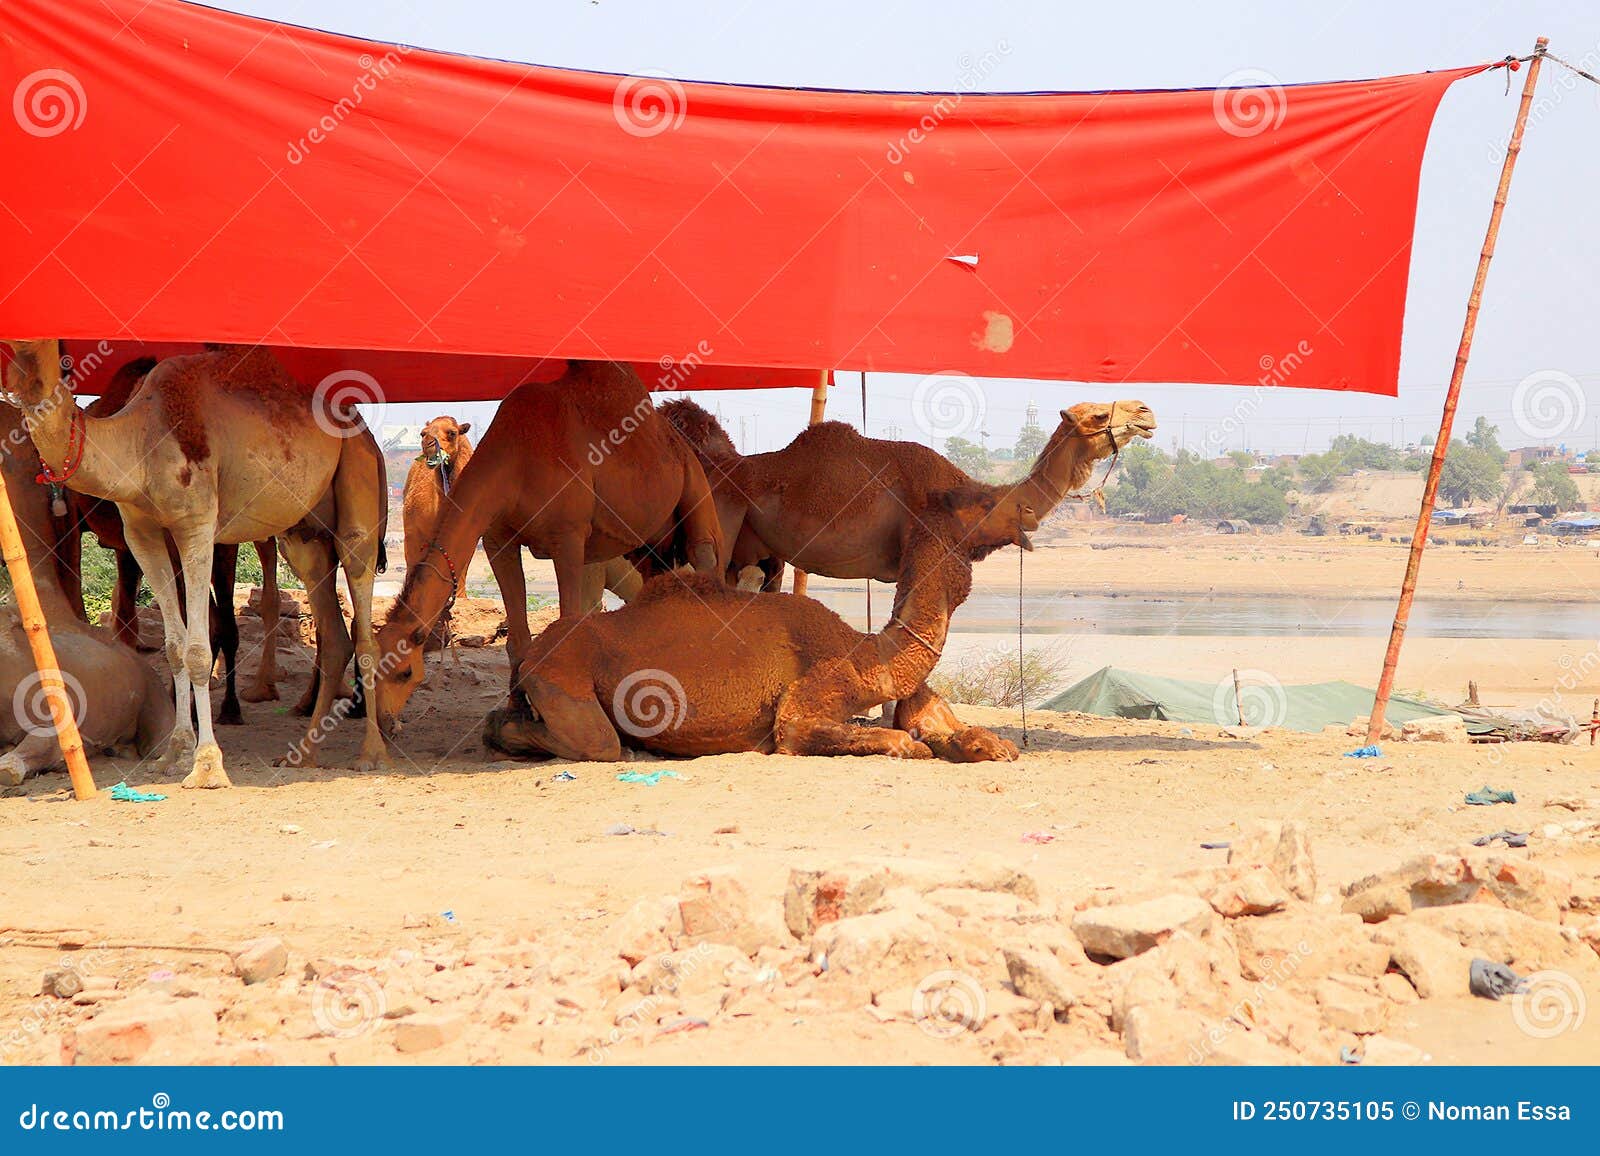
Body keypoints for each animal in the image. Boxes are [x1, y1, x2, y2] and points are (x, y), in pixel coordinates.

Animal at [372, 361, 723, 725]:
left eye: (403, 672)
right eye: (365, 673)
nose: (382, 720)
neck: (515, 458)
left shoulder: (568, 536)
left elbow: (566, 627)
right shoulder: (498, 539)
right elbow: (518, 636)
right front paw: (517, 709)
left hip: (694, 483)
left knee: (706, 554)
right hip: (651, 541)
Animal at [481, 486, 1037, 762]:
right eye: (983, 504)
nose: (1030, 516)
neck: (868, 653)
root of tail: (529, 658)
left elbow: (952, 730)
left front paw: (991, 746)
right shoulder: (805, 704)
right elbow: (882, 738)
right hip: (564, 679)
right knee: (596, 742)